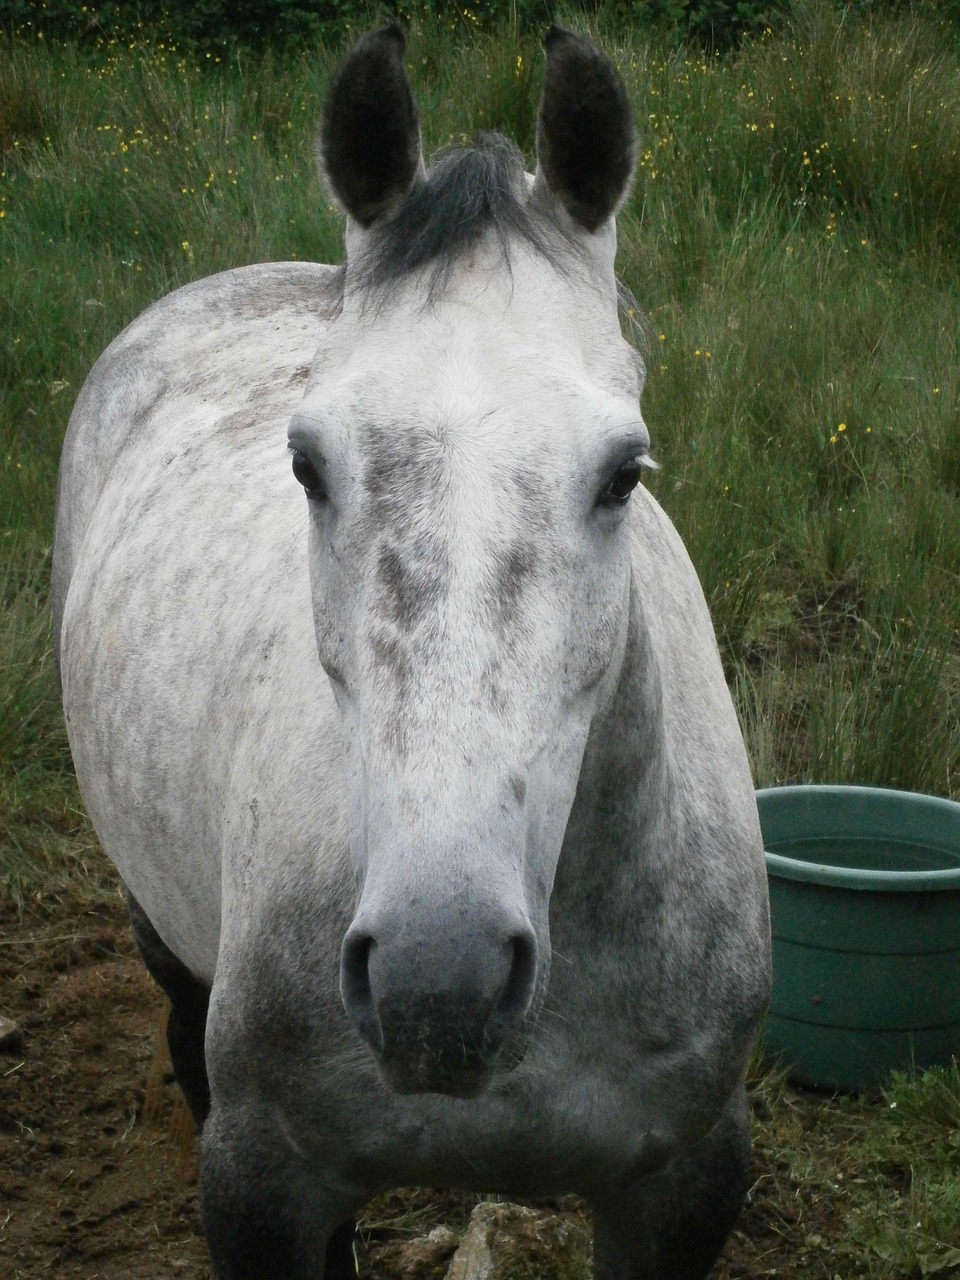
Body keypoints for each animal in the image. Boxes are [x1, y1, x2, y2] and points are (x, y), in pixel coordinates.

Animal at [52, 26, 771, 1280]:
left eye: (623, 471)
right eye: (306, 464)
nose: (443, 979)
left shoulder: (686, 1182)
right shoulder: (261, 1182)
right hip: (164, 941)